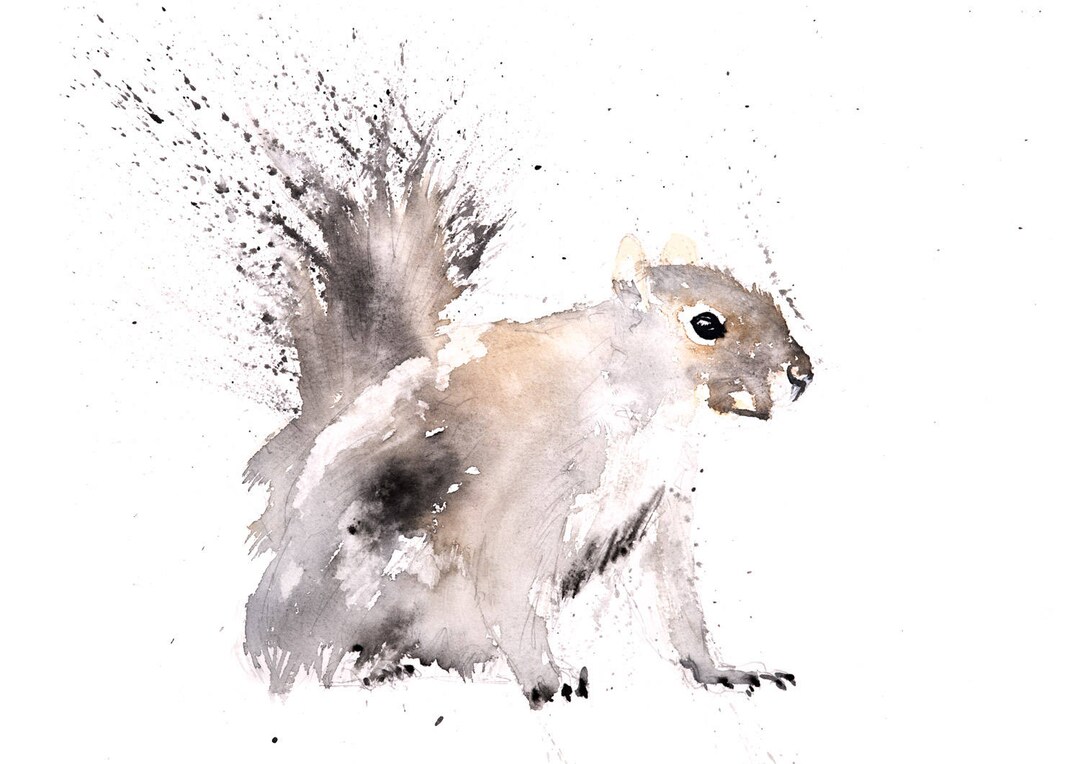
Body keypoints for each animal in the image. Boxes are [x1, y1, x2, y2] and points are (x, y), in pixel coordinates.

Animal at [242, 110, 813, 709]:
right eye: (706, 324)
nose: (802, 374)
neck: (646, 406)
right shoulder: (534, 487)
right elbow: (511, 585)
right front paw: (547, 680)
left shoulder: (663, 505)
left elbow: (677, 601)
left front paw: (720, 670)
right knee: (310, 656)